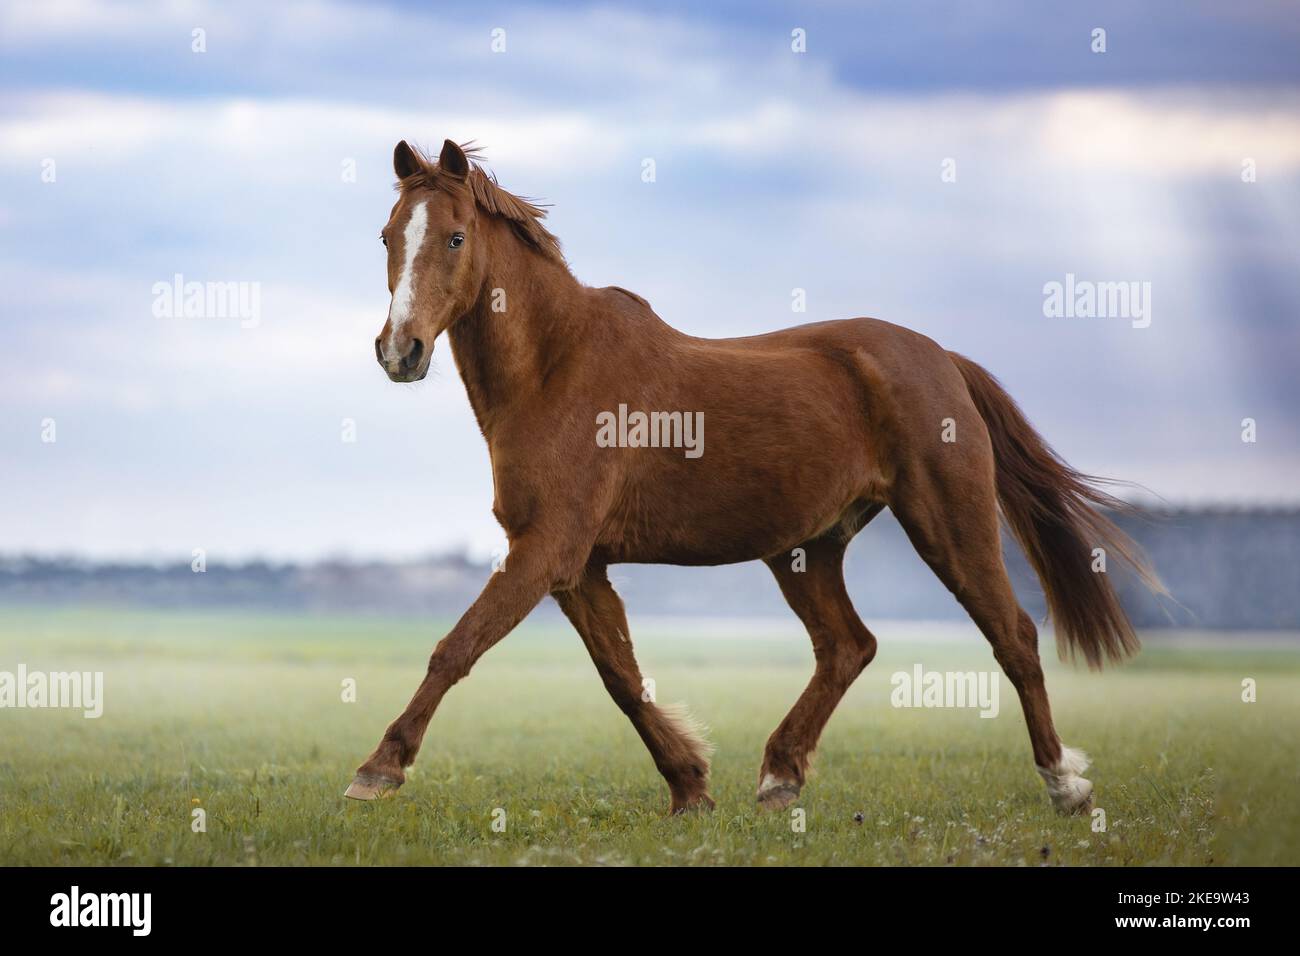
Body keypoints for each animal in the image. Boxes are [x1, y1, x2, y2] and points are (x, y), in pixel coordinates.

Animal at [348, 138, 1161, 815]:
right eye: (388, 236)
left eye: (455, 237)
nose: (399, 351)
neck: (556, 367)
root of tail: (942, 360)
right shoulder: (576, 566)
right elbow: (621, 677)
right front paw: (689, 785)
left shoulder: (547, 549)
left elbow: (458, 646)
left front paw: (377, 769)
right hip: (805, 549)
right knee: (848, 647)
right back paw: (779, 776)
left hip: (948, 525)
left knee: (1012, 635)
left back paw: (1065, 785)